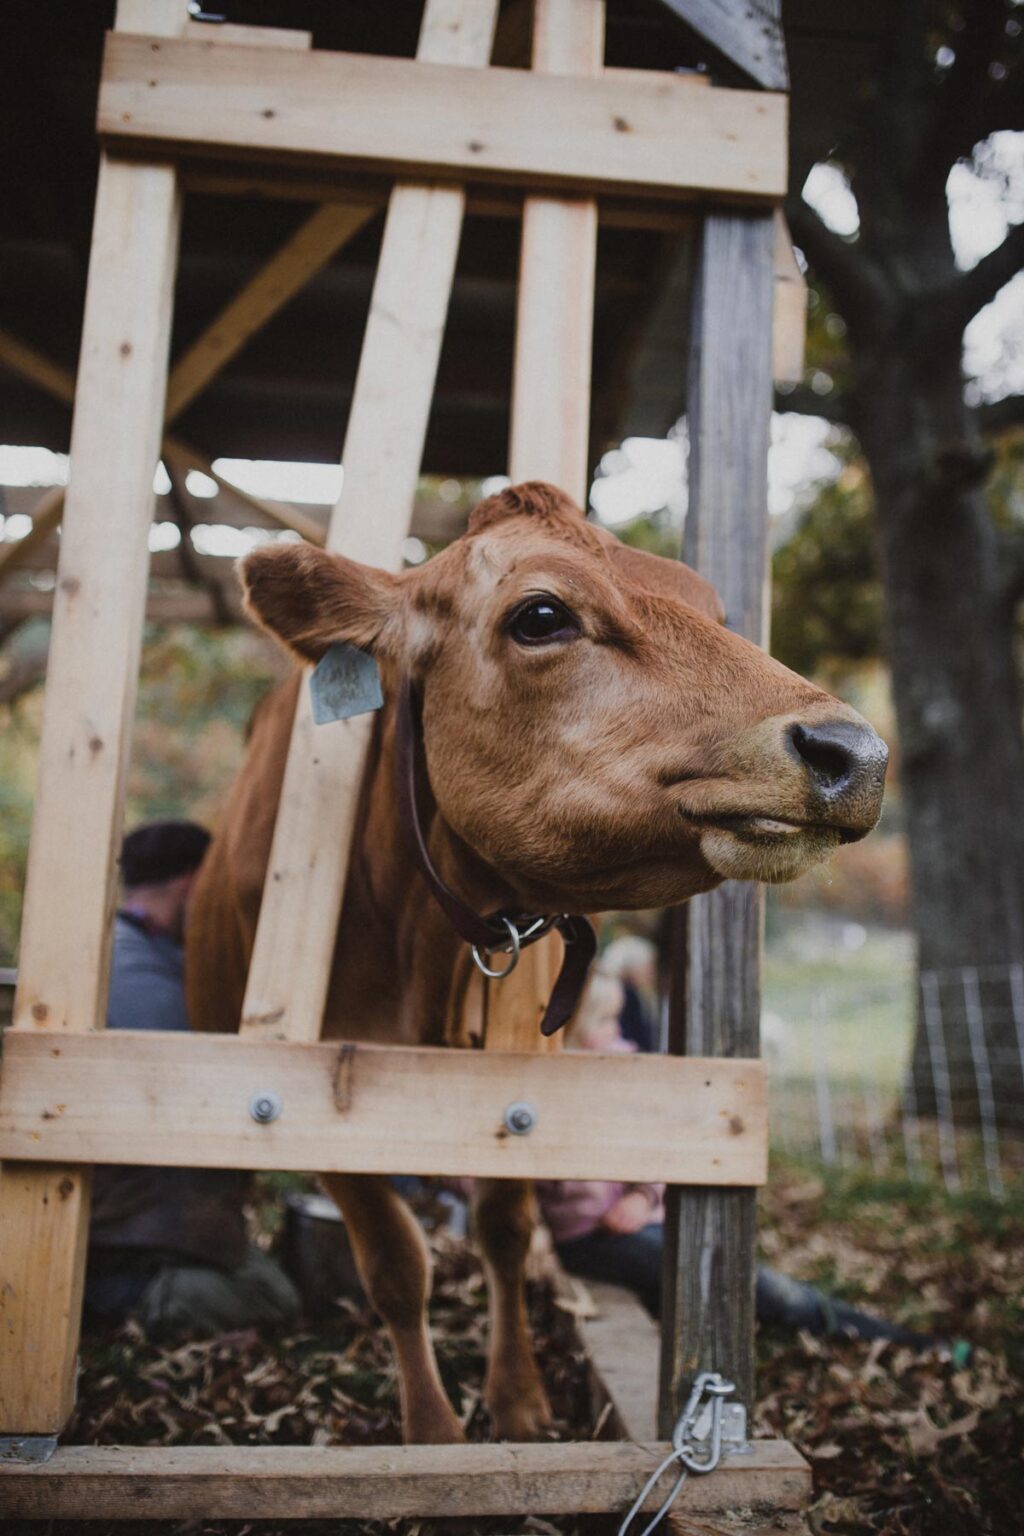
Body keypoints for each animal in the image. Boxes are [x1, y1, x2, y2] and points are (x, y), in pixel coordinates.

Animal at [186, 481, 886, 1444]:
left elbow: (505, 1225)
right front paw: (434, 1432)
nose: (855, 753)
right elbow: (397, 1266)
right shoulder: (314, 1082)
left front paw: (518, 1401)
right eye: (542, 615)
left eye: (713, 609)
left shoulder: (528, 1078)